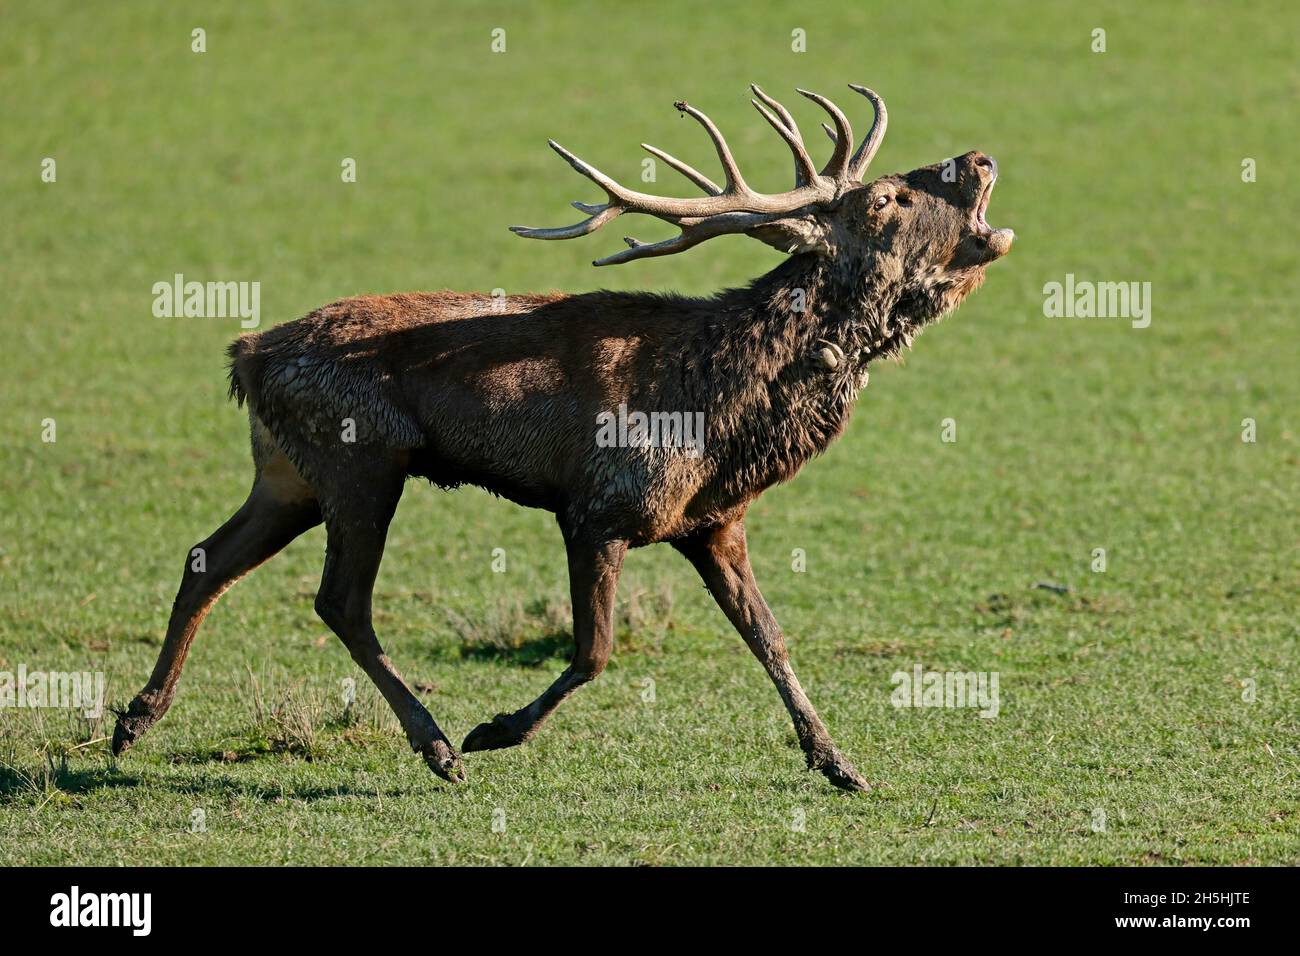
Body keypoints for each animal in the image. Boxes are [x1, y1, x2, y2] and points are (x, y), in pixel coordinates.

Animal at [112, 83, 1013, 792]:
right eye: (885, 200)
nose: (978, 158)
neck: (723, 413)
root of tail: (247, 354)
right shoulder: (599, 507)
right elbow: (596, 651)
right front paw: (494, 730)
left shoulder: (714, 521)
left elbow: (771, 637)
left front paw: (838, 763)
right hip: (361, 459)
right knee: (340, 599)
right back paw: (439, 746)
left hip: (289, 474)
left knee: (208, 558)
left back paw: (136, 718)